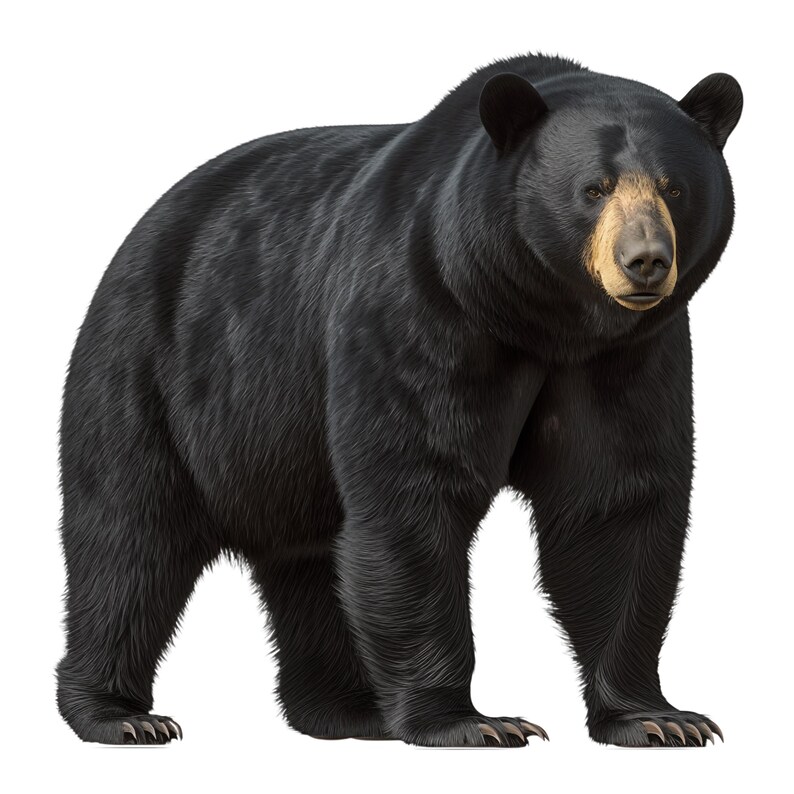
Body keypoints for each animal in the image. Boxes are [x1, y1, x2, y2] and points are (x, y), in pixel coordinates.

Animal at [56, 52, 742, 748]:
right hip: (155, 373)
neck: (541, 318)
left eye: (674, 188)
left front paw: (658, 717)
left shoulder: (626, 359)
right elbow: (413, 493)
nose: (645, 261)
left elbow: (615, 503)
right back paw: (121, 714)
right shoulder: (418, 310)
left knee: (310, 558)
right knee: (129, 540)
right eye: (593, 189)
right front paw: (473, 722)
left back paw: (348, 710)